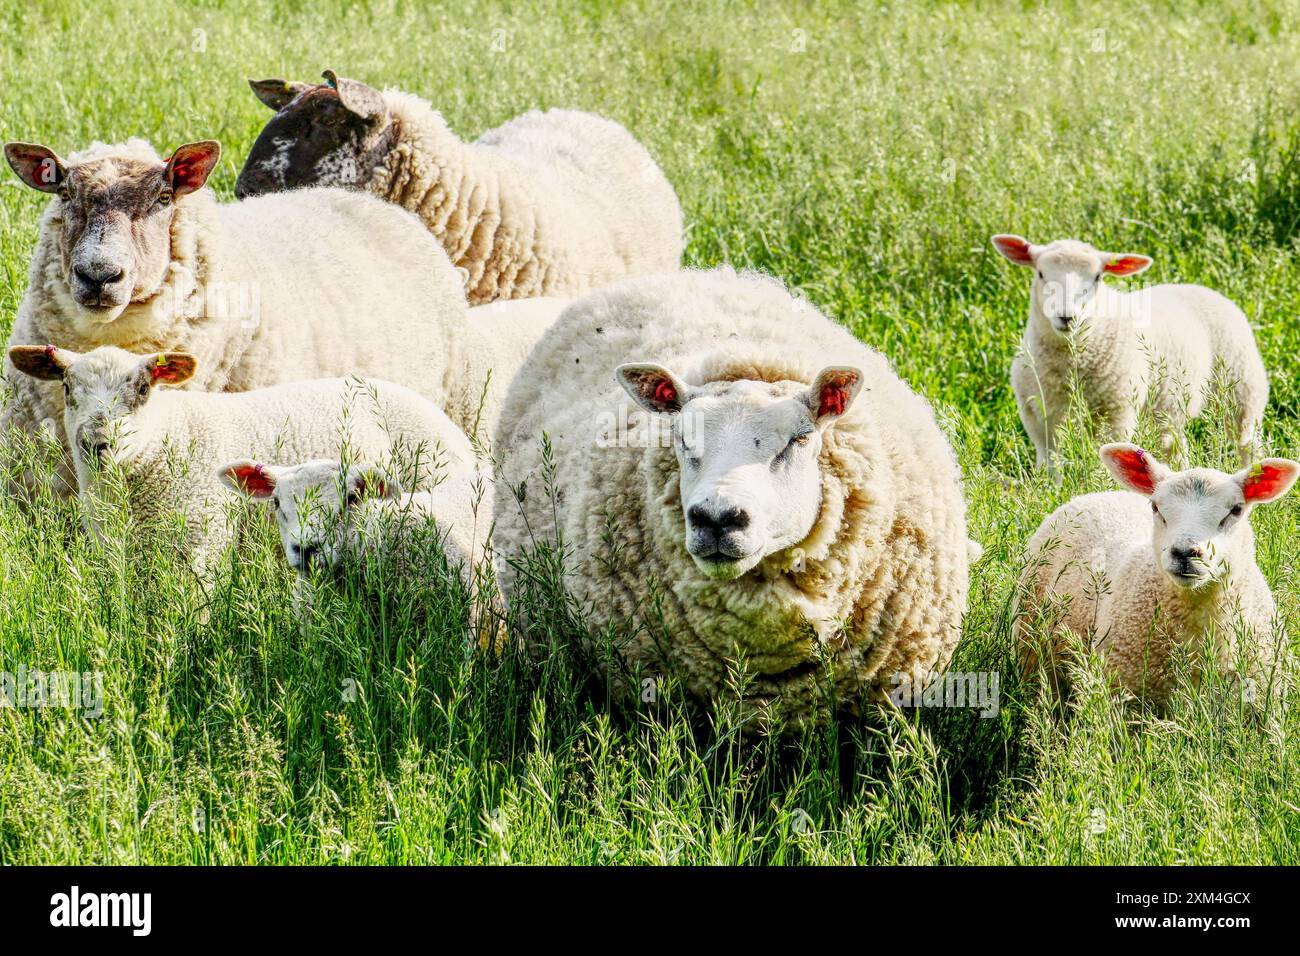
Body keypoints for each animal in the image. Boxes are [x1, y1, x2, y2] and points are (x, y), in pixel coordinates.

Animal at [991, 234, 1268, 474]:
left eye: (1097, 277)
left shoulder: (1117, 414)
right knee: (1176, 448)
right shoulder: (1039, 418)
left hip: (1241, 392)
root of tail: (1202, 288)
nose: (1067, 316)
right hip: (1170, 411)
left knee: (1248, 444)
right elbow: (1051, 465)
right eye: (1040, 273)